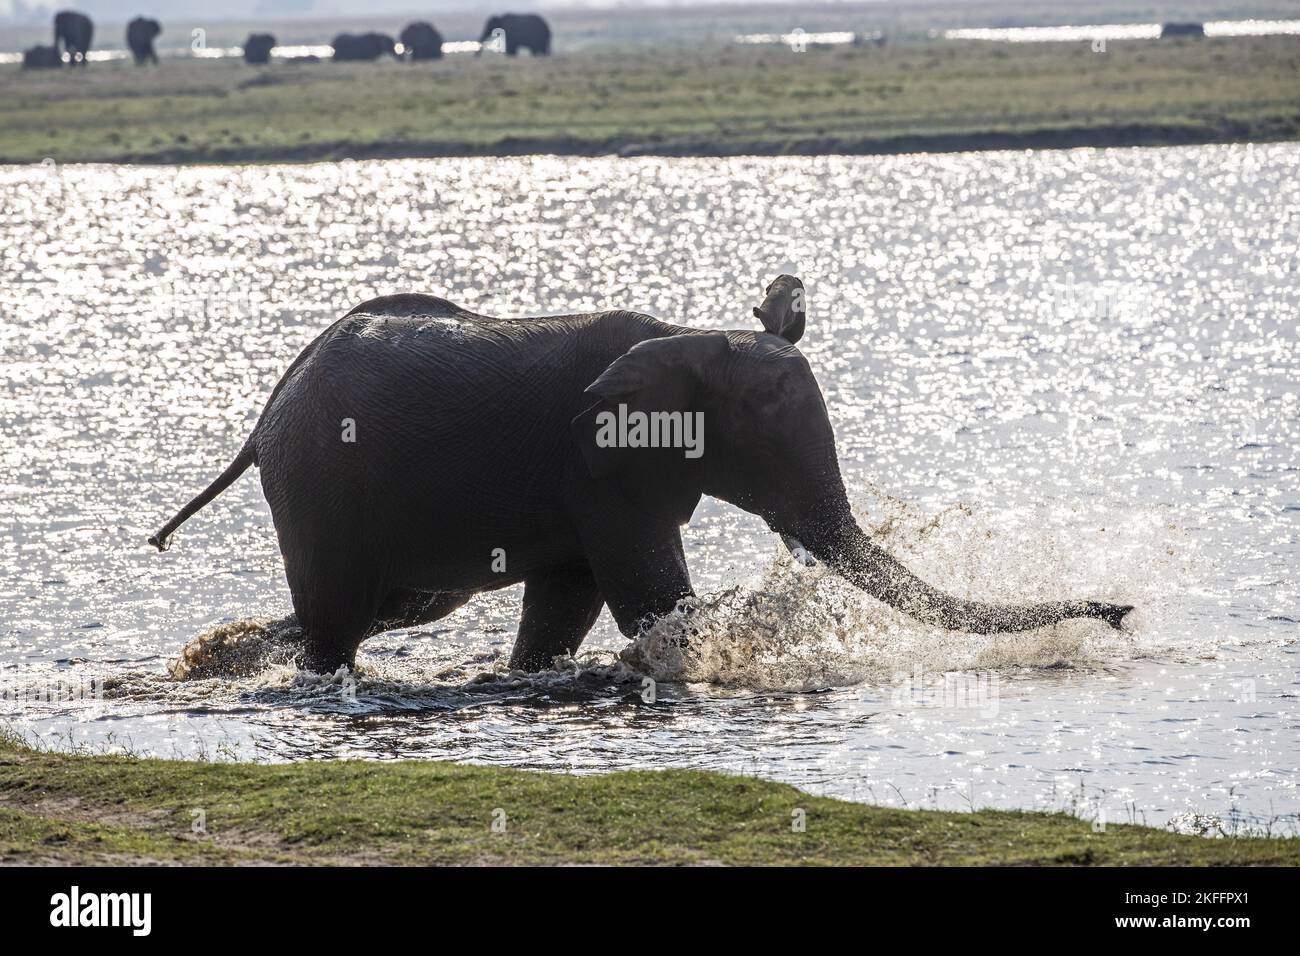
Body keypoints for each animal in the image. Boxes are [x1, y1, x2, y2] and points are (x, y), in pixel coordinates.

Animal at [149, 275, 1133, 674]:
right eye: (766, 444)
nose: (1121, 611)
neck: (689, 337)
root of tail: (264, 419)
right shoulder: (606, 470)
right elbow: (648, 596)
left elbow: (568, 601)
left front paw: (532, 674)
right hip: (319, 483)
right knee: (341, 615)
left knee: (392, 607)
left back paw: (229, 657)